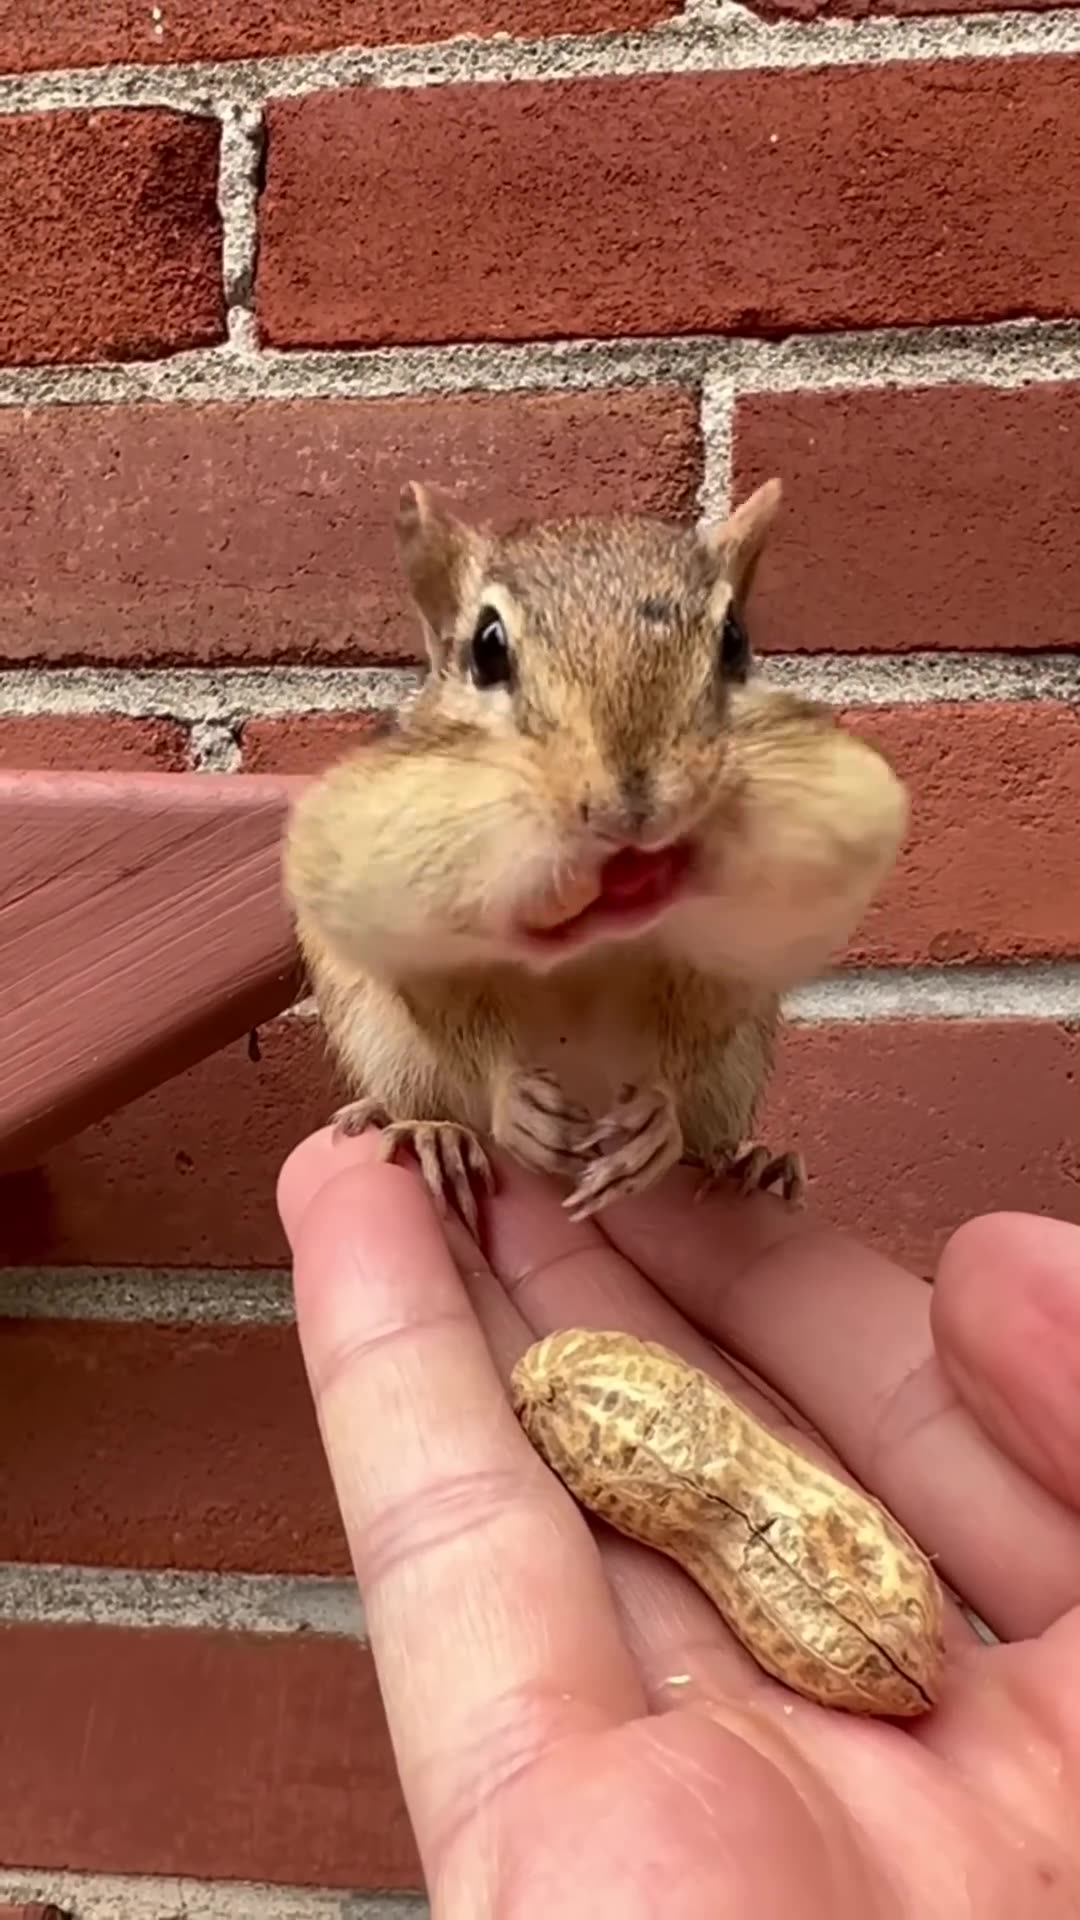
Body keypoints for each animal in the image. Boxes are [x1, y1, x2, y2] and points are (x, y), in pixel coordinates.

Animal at [282, 477, 908, 1234]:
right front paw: (512, 1102)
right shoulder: (414, 936)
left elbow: (691, 1034)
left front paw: (658, 1118)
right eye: (487, 648)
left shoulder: (726, 966)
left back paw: (748, 1165)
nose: (633, 809)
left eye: (735, 640)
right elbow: (458, 1018)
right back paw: (431, 1133)